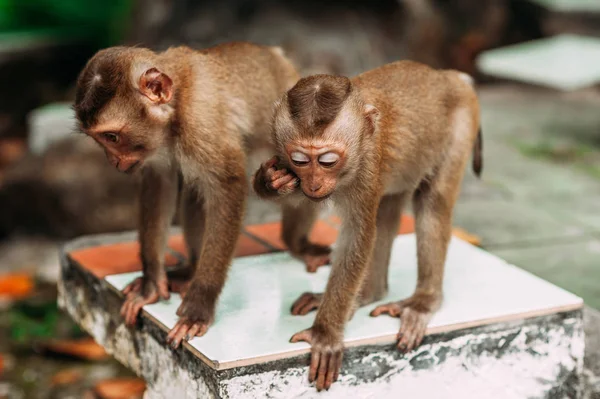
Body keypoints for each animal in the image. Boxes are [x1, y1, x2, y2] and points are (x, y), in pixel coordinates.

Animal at [253, 61, 482, 392]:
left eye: (327, 161)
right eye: (299, 160)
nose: (314, 183)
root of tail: (449, 76)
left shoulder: (368, 165)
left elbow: (357, 236)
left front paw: (325, 335)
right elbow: (300, 198)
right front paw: (269, 181)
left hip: (463, 119)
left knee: (432, 201)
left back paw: (422, 303)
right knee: (388, 207)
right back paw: (368, 294)